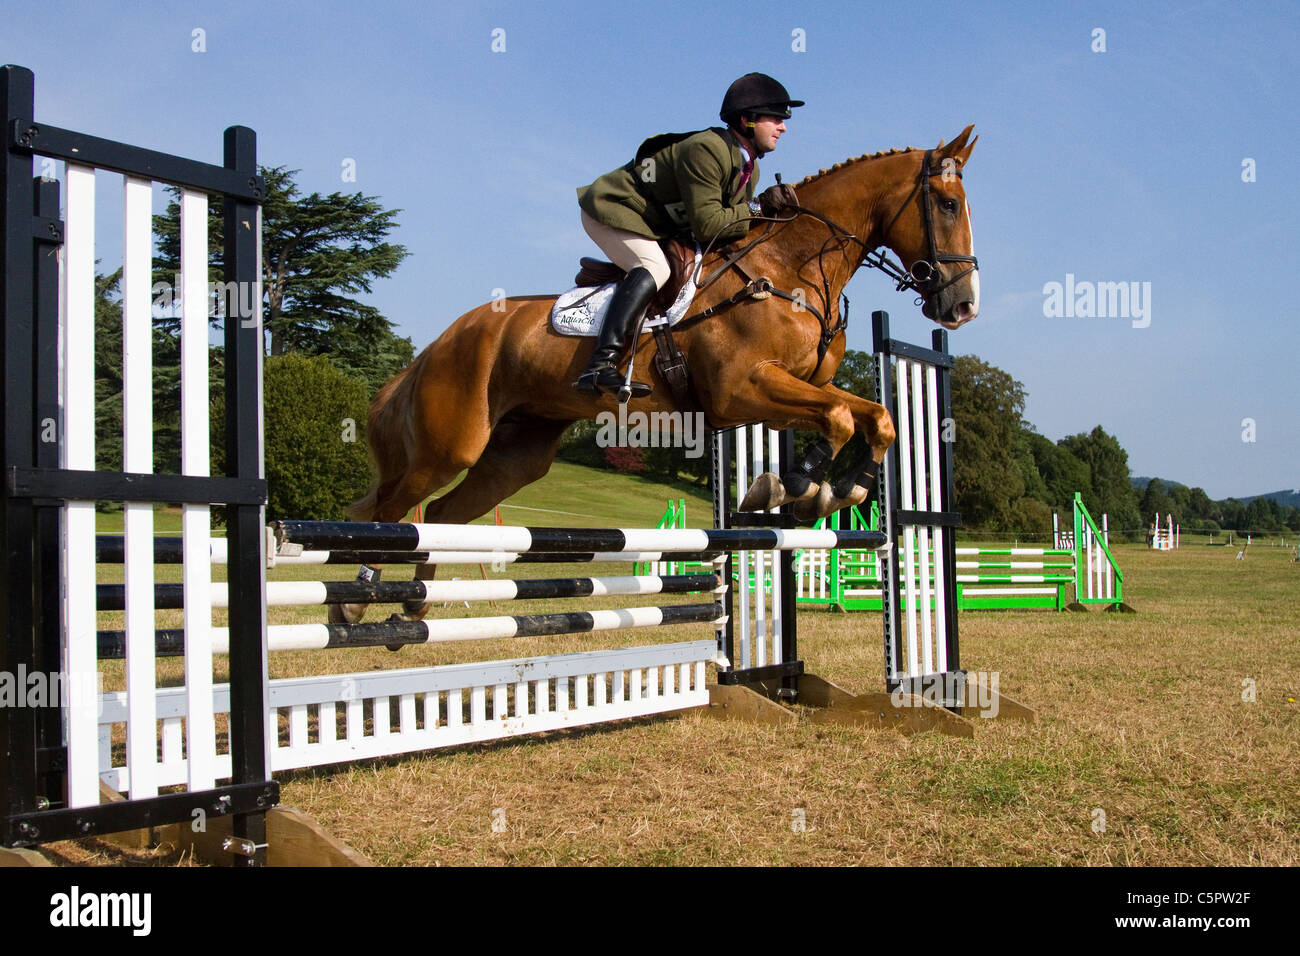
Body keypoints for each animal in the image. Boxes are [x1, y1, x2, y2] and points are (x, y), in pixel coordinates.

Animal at [334, 127, 980, 624]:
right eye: (948, 205)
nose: (963, 306)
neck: (792, 266)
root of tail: (443, 339)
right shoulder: (740, 392)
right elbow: (843, 417)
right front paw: (793, 487)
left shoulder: (797, 389)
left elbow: (877, 418)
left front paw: (837, 490)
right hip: (451, 443)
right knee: (386, 507)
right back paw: (354, 599)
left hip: (513, 458)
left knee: (440, 515)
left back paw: (412, 603)